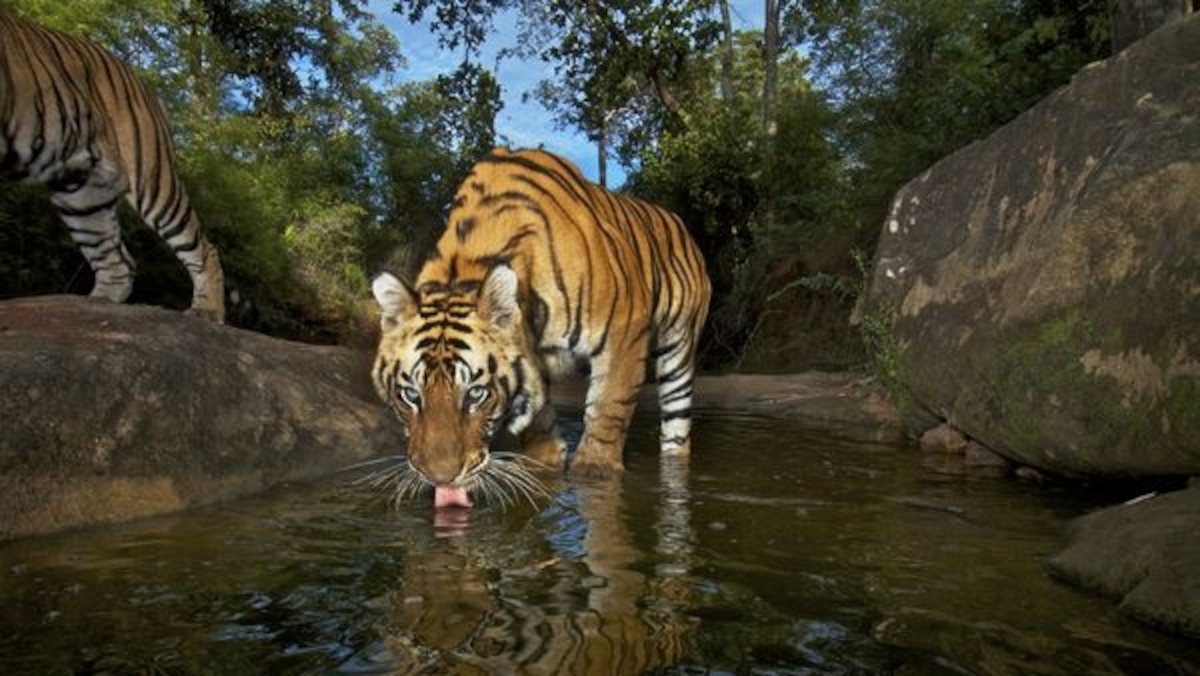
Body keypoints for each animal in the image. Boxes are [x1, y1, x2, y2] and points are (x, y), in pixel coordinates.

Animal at [0, 10, 225, 322]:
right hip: (82, 194)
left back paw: (207, 311)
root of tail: (139, 79)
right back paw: (93, 308)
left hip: (151, 182)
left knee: (204, 248)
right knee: (119, 264)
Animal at [371, 147, 711, 507]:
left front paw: (595, 469)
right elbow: (538, 418)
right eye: (411, 395)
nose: (440, 478)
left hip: (678, 354)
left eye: (476, 393)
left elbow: (608, 408)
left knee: (677, 431)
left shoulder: (624, 330)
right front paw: (544, 461)